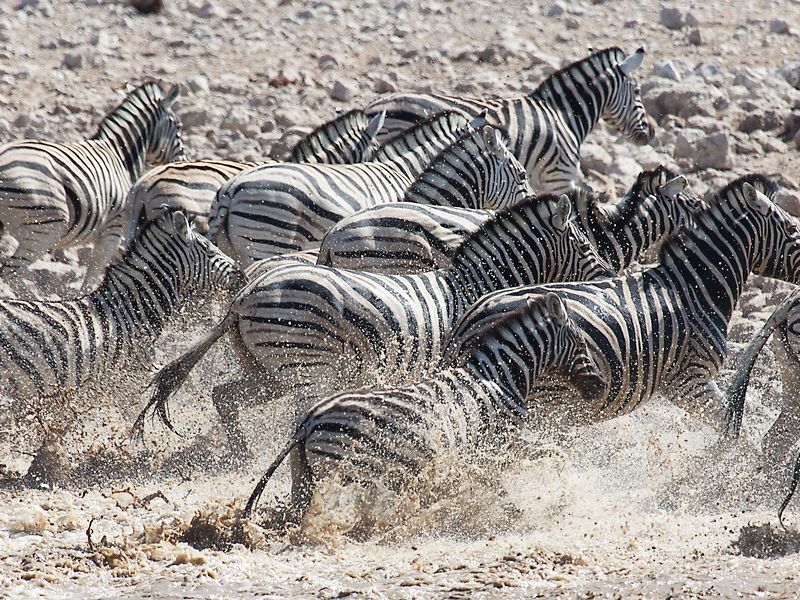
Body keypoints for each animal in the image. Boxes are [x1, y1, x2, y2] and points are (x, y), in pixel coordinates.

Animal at [0, 81, 185, 290]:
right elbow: (93, 275)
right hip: (43, 229)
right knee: (12, 274)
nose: (181, 161)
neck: (121, 156)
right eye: (178, 126)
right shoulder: (113, 230)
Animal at [135, 194, 614, 455]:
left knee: (224, 396)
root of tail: (240, 299)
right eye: (583, 244)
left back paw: (240, 456)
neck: (474, 284)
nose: (609, 275)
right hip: (306, 367)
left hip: (270, 370)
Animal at [243, 291, 606, 518]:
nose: (600, 387)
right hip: (349, 473)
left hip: (305, 476)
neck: (499, 375)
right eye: (581, 343)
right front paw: (557, 499)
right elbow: (548, 458)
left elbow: (533, 462)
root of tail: (310, 418)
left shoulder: (482, 452)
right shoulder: (499, 446)